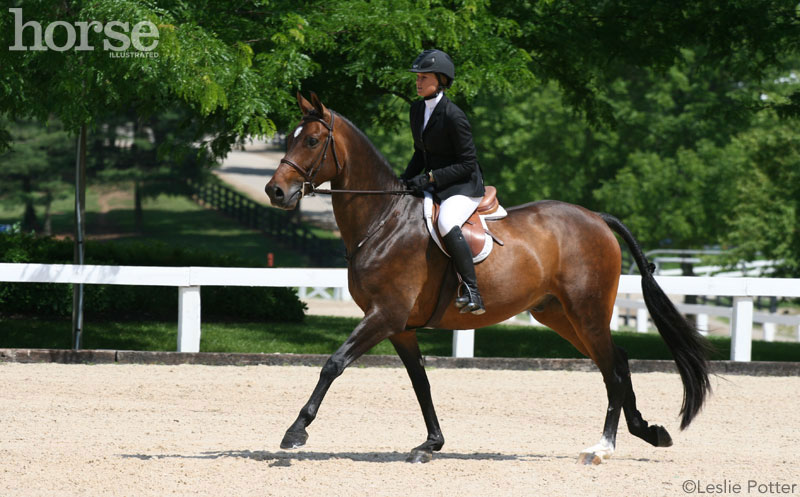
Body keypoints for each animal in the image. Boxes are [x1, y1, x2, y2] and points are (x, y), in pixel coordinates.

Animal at [265, 92, 711, 464]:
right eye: (290, 138)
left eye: (311, 141)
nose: (275, 192)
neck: (383, 221)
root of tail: (597, 218)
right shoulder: (400, 327)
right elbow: (421, 382)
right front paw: (431, 444)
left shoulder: (384, 315)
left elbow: (333, 364)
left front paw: (295, 432)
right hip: (558, 314)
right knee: (614, 361)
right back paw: (648, 432)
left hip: (587, 311)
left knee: (614, 368)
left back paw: (602, 447)